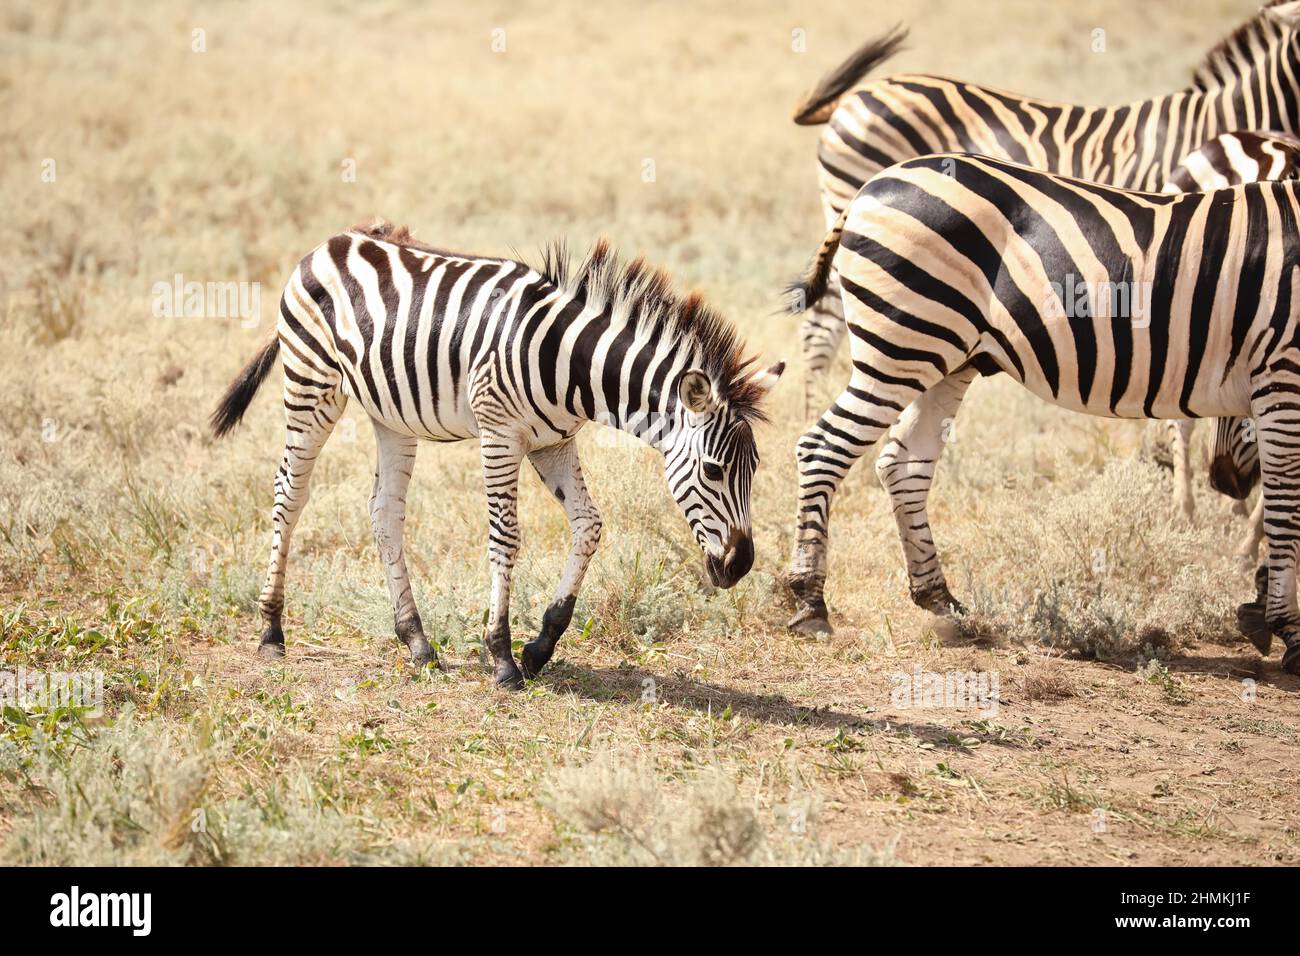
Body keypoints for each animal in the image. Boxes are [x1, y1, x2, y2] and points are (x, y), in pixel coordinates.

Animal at [210, 221, 783, 689]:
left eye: (755, 470)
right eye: (713, 470)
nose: (741, 566)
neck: (572, 366)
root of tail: (331, 241)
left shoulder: (554, 443)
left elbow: (589, 525)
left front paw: (540, 647)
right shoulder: (499, 434)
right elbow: (506, 537)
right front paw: (503, 657)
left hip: (391, 416)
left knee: (384, 513)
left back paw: (416, 641)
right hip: (311, 384)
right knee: (289, 495)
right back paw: (272, 630)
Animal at [784, 152, 1300, 674]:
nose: (1225, 481)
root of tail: (873, 185)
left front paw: (1263, 607)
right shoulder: (1283, 371)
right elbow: (1287, 509)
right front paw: (1289, 630)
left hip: (947, 355)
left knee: (903, 464)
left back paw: (940, 600)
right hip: (903, 343)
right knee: (823, 447)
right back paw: (810, 603)